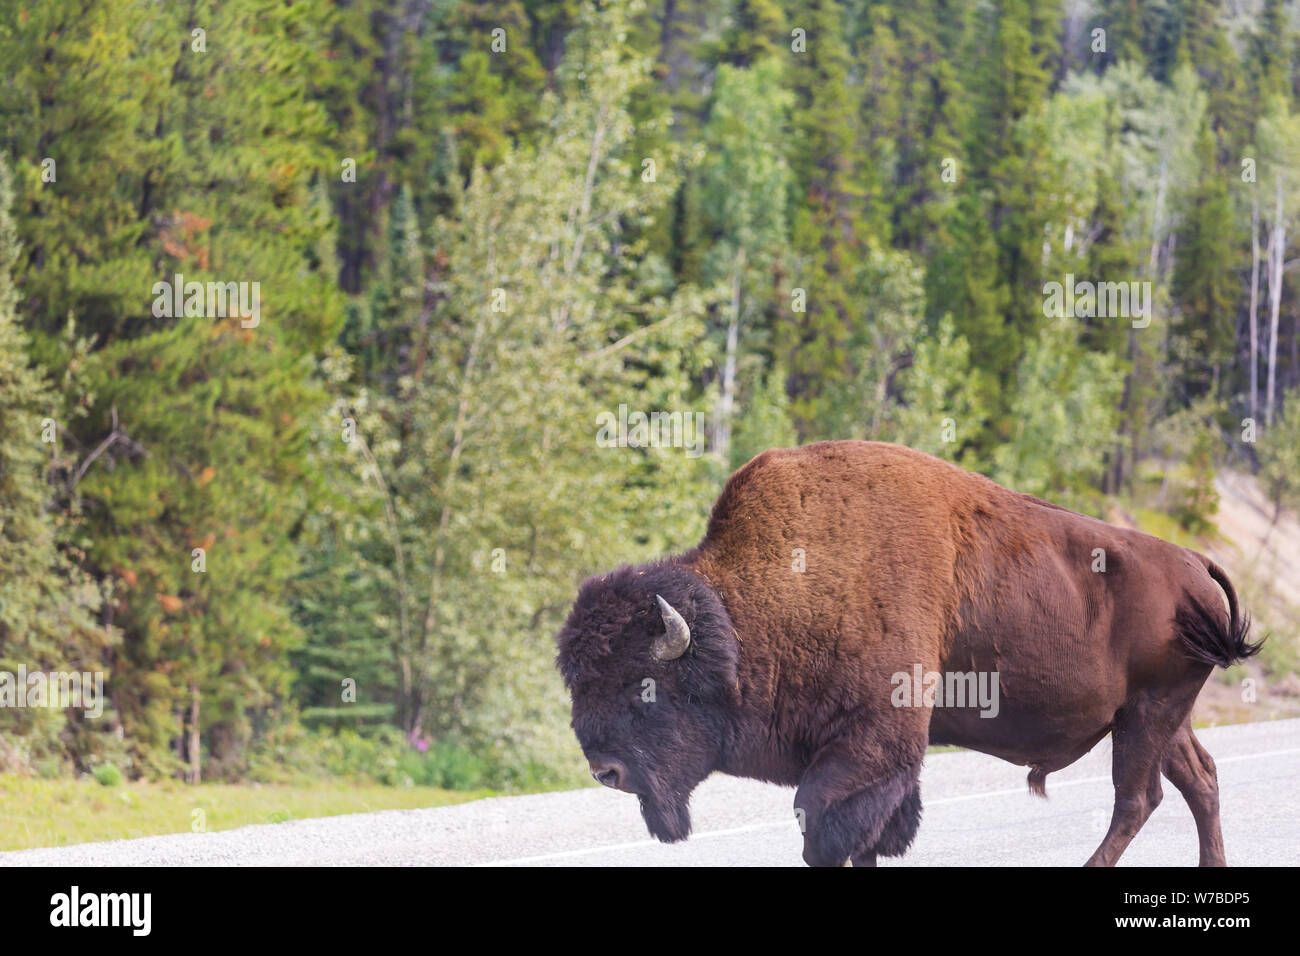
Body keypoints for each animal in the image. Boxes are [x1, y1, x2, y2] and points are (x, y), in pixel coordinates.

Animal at [556, 441, 1260, 866]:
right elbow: (872, 835)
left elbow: (825, 827)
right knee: (1198, 779)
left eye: (643, 686)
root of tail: (1193, 562)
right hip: (1159, 716)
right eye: (579, 682)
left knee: (1137, 798)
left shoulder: (867, 747)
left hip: (1147, 714)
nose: (605, 771)